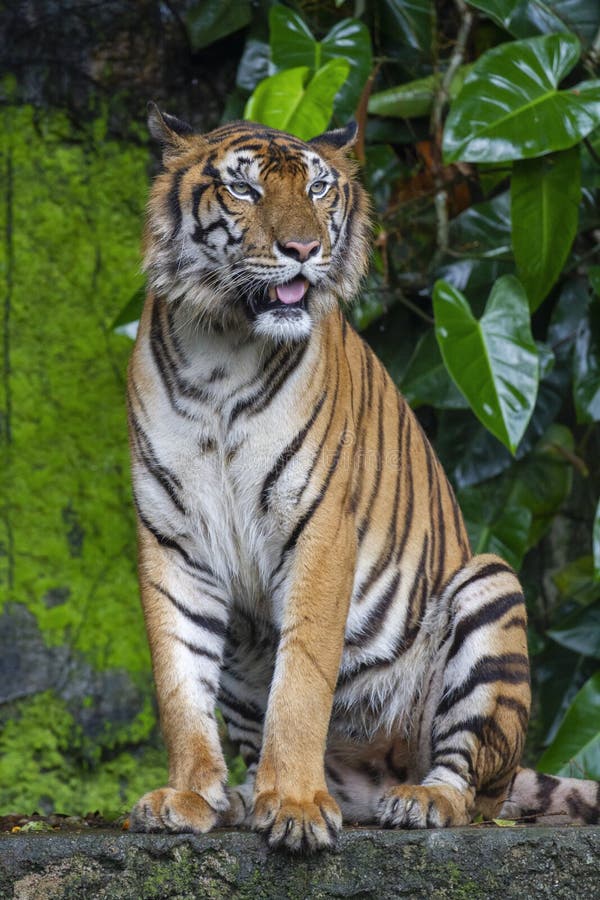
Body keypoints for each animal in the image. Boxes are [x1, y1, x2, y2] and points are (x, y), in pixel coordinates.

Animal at [127, 103, 600, 851]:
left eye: (318, 190)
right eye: (245, 190)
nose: (302, 248)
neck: (223, 349)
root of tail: (366, 783)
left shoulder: (319, 527)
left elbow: (302, 679)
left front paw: (293, 805)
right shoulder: (172, 538)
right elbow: (179, 679)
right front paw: (189, 795)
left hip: (489, 588)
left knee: (471, 786)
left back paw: (418, 800)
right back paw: (243, 797)